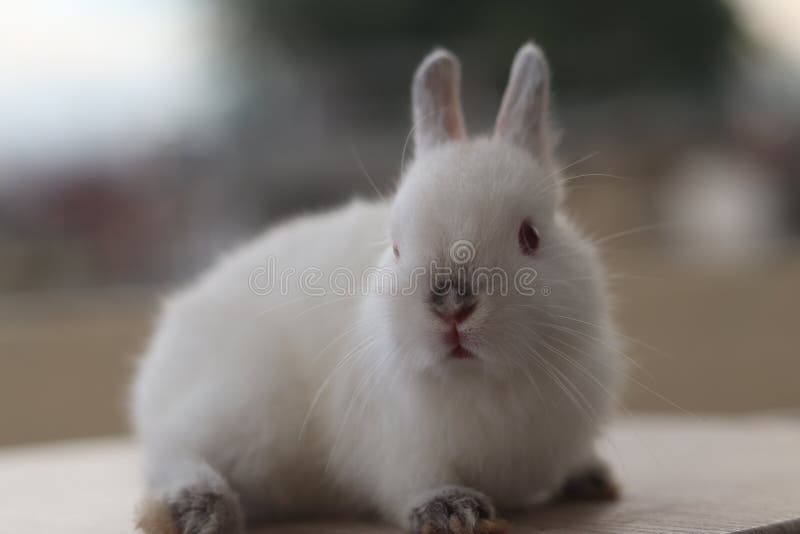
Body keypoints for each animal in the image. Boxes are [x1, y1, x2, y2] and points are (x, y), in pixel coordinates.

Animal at [132, 41, 624, 534]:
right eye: (397, 245)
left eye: (531, 236)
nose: (451, 304)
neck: (480, 383)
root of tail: (156, 369)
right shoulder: (395, 446)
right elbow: (410, 481)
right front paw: (452, 509)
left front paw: (591, 476)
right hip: (243, 411)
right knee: (170, 451)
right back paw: (199, 505)